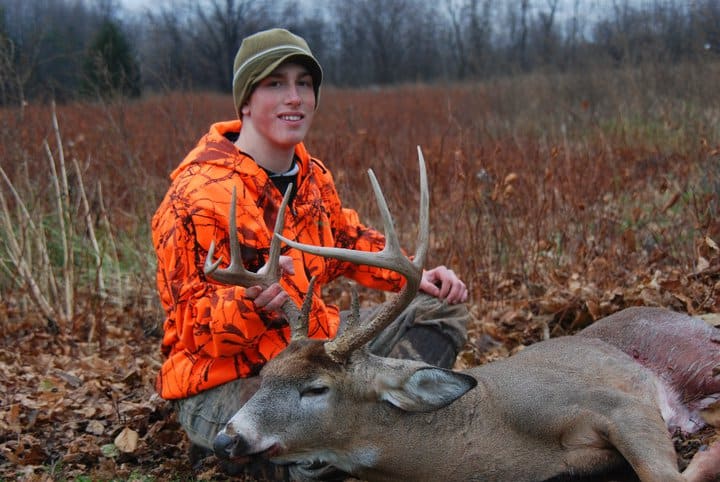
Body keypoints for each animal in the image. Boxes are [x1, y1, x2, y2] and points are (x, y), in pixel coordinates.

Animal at [205, 147, 720, 482]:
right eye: (265, 375)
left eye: (316, 389)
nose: (227, 440)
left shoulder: (613, 401)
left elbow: (665, 476)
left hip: (695, 355)